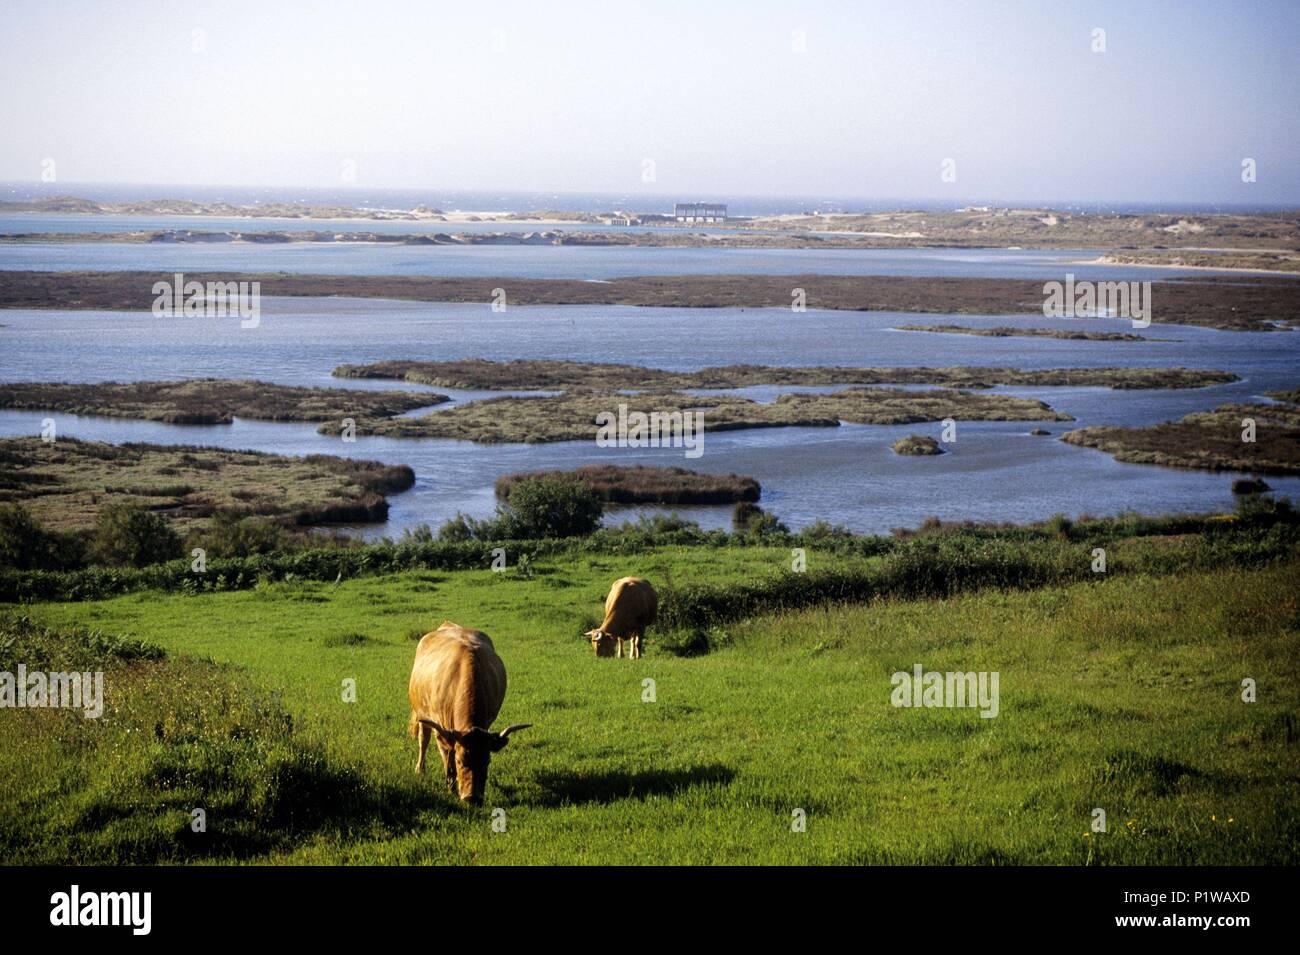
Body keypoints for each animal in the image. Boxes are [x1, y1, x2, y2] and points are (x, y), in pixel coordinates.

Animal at [408, 620, 531, 804]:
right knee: (424, 740)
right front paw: (451, 788)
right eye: (460, 761)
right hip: (422, 712)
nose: (472, 798)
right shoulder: (442, 732)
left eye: (487, 761)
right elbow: (448, 760)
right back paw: (420, 769)